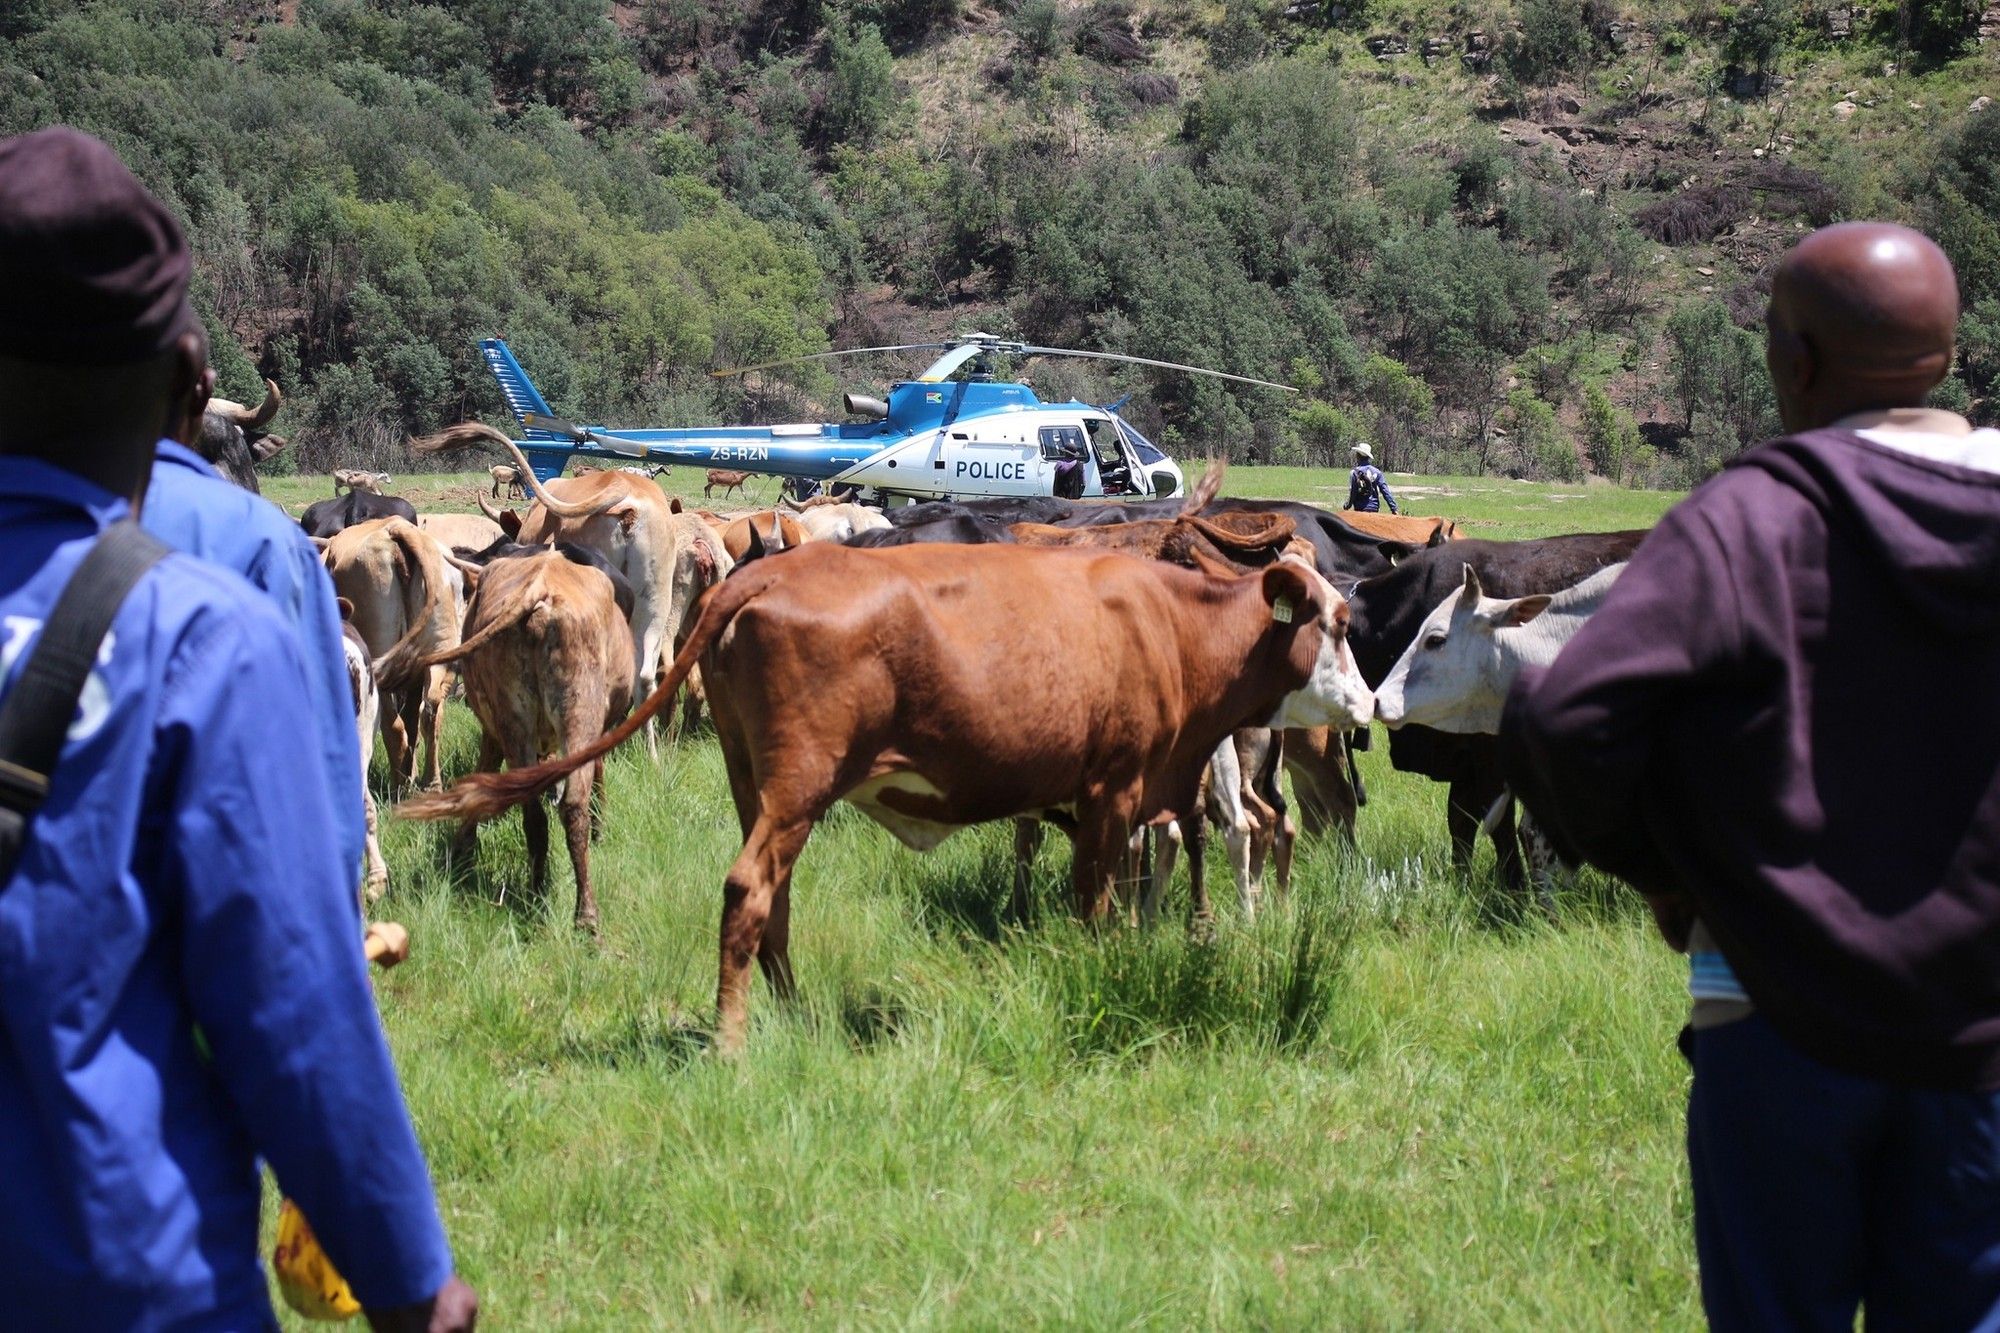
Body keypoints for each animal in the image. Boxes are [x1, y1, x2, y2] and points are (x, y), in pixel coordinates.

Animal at [321, 518, 461, 792]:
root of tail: (396, 528)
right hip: (439, 655)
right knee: (430, 714)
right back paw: (429, 782)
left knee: (393, 726)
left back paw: (399, 786)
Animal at [382, 549, 633, 932]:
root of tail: (538, 593)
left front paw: (463, 845)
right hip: (564, 714)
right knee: (565, 805)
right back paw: (567, 905)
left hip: (529, 719)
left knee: (540, 813)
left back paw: (555, 902)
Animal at [1345, 531, 1646, 891]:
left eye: (1435, 640)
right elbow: (1461, 819)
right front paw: (1463, 880)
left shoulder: (1489, 751)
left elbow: (1499, 823)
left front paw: (1514, 886)